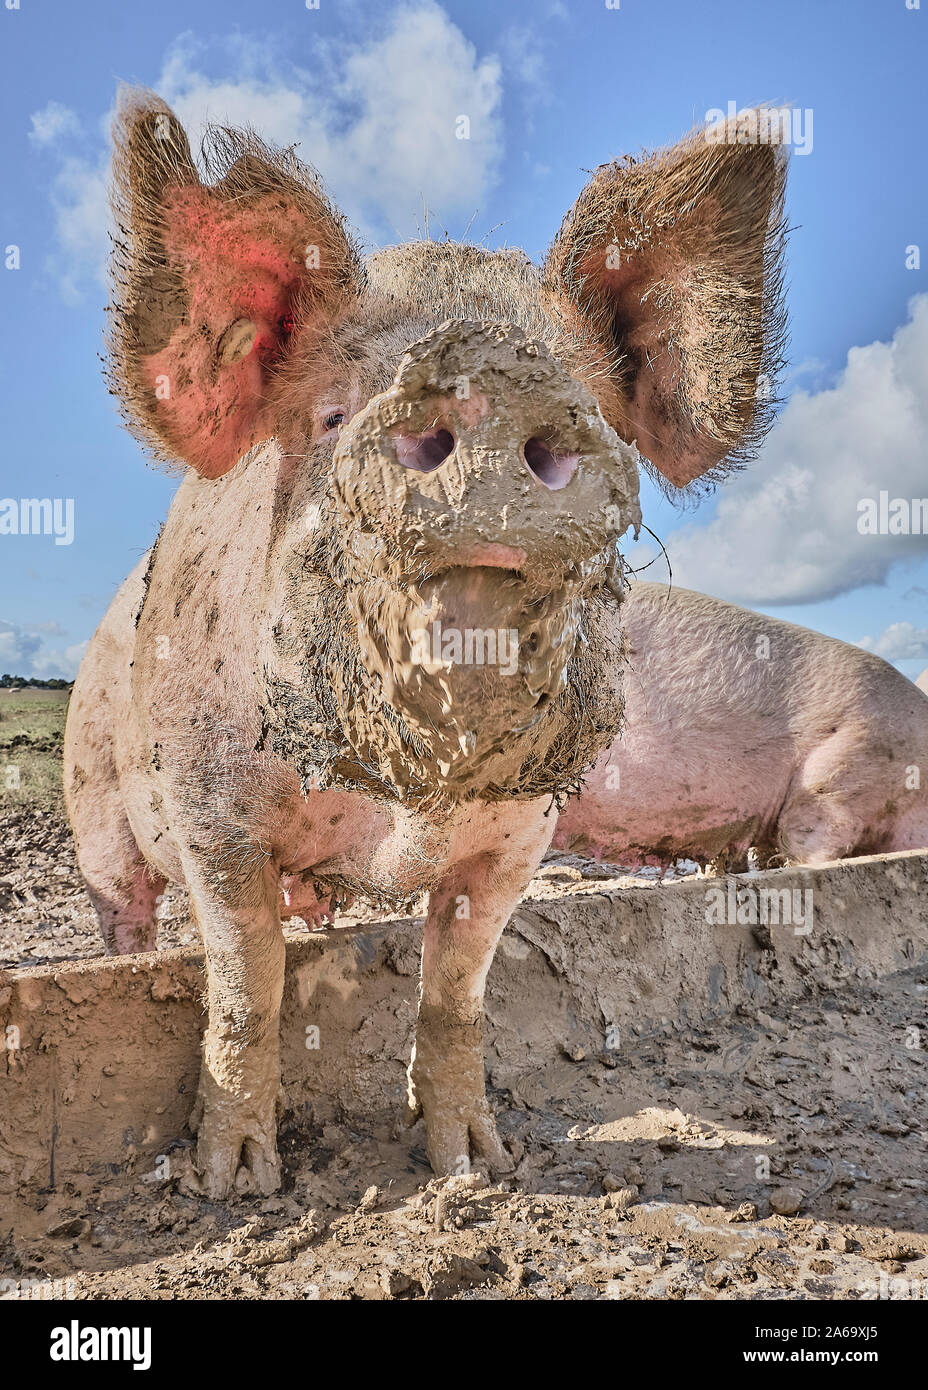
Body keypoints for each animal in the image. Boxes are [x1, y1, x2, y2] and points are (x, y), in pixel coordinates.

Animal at [63, 88, 787, 1197]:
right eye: (331, 416)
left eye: (592, 407)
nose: (488, 373)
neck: (408, 801)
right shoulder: (210, 807)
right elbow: (246, 986)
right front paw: (232, 1184)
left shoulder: (521, 837)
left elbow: (455, 994)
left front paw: (474, 1167)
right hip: (94, 809)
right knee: (127, 913)